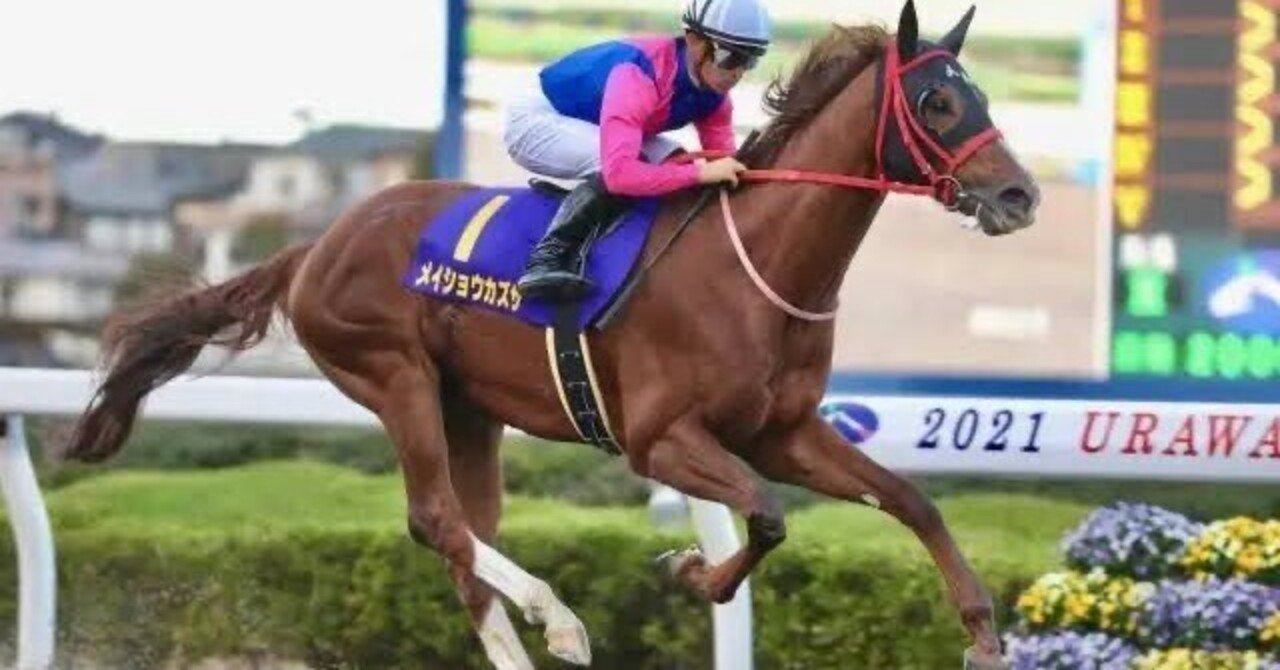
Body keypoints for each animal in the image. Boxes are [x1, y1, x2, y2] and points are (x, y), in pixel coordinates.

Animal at [64, 2, 1039, 668]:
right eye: (936, 101)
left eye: (980, 93)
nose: (1020, 195)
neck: (758, 264)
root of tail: (315, 245)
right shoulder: (660, 438)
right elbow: (763, 517)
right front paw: (688, 570)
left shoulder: (783, 431)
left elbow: (911, 500)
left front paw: (982, 631)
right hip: (393, 375)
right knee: (433, 519)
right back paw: (560, 619)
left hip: (468, 409)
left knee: (462, 536)